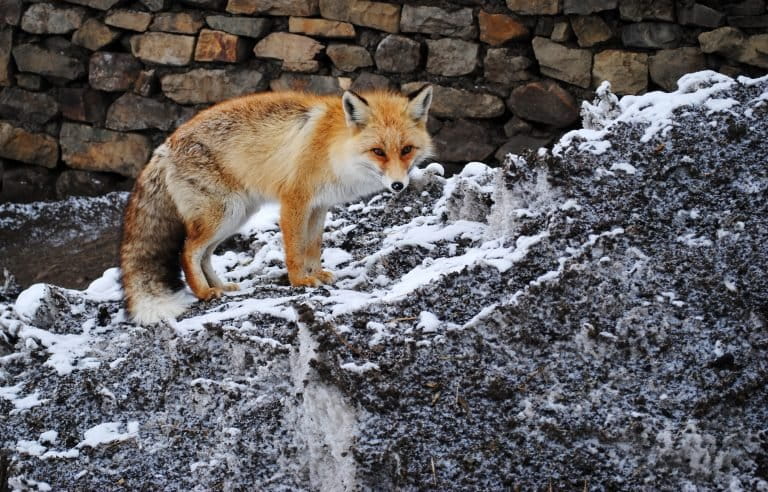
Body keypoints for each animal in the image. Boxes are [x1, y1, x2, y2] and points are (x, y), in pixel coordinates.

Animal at [120, 85, 434, 324]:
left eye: (406, 150)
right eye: (378, 151)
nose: (398, 185)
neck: (332, 148)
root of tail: (165, 145)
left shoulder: (319, 206)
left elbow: (312, 247)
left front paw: (316, 274)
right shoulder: (294, 200)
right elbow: (294, 249)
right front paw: (299, 281)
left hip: (235, 216)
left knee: (204, 255)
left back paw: (220, 286)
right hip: (223, 214)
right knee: (187, 252)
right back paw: (203, 293)